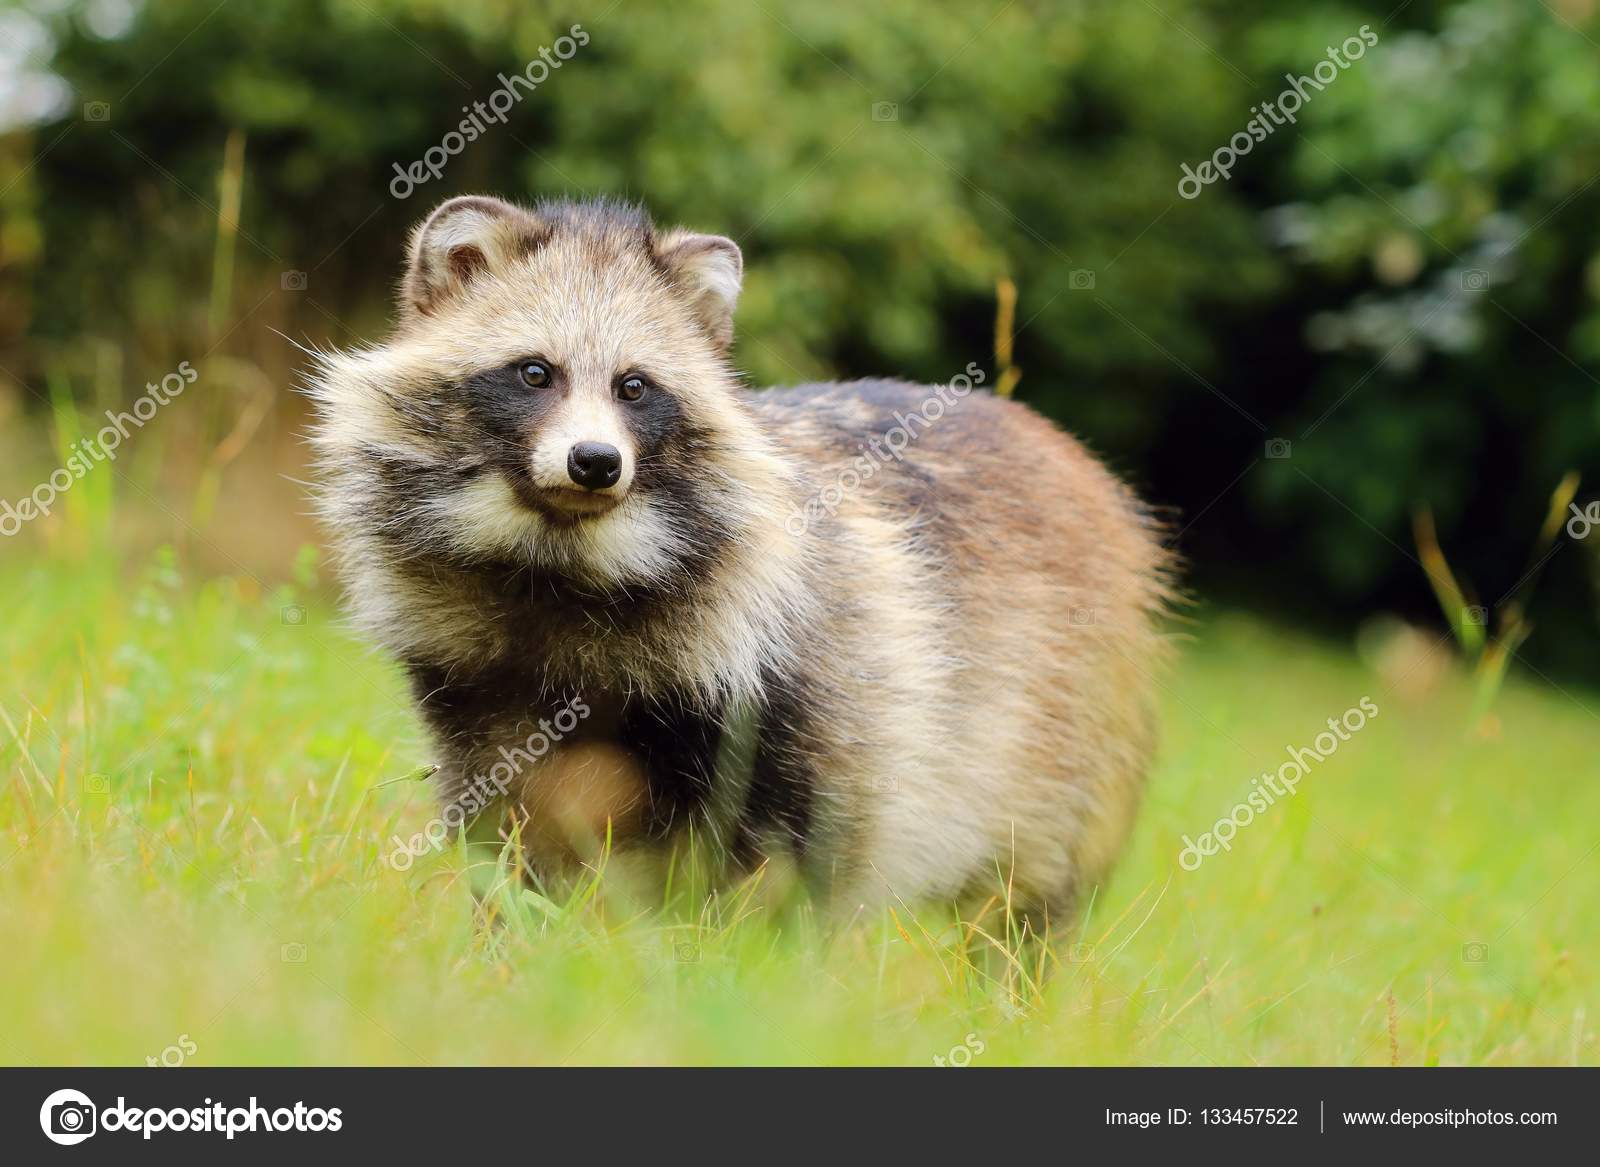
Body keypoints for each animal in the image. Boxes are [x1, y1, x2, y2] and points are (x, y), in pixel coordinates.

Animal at [308, 195, 1172, 920]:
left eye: (634, 387)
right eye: (534, 372)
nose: (594, 462)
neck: (562, 561)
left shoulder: (812, 675)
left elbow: (807, 852)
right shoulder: (479, 683)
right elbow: (508, 827)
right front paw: (507, 936)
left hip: (1067, 730)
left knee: (1027, 893)